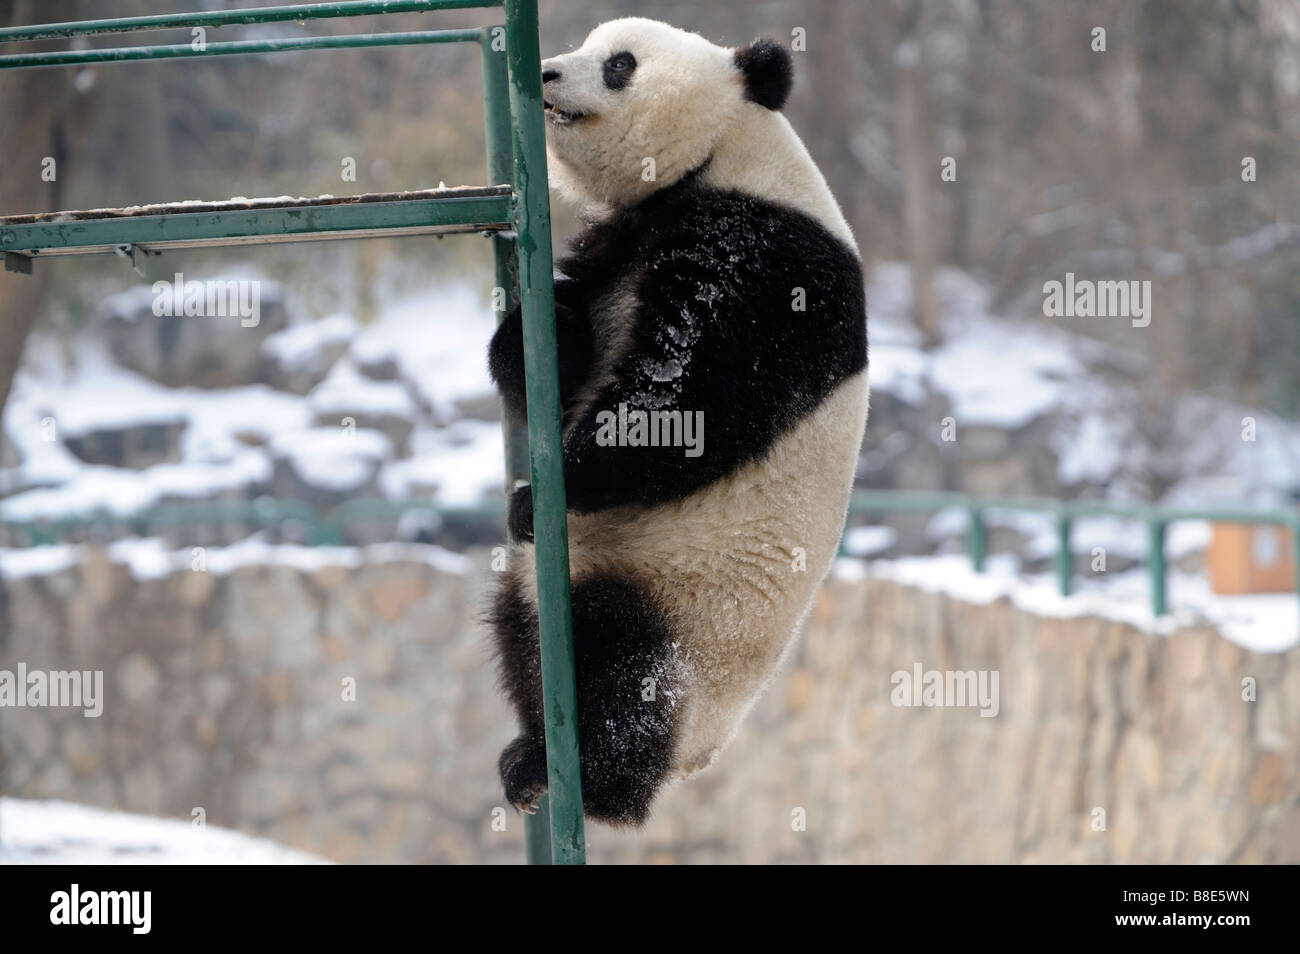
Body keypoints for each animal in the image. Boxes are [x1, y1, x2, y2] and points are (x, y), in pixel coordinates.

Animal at [487, 17, 869, 827]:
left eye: (620, 64)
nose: (548, 73)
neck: (722, 155)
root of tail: (695, 759)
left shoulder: (768, 265)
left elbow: (682, 411)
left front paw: (544, 494)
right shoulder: (615, 244)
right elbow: (553, 362)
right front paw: (546, 334)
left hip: (691, 604)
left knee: (625, 664)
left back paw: (593, 779)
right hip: (561, 582)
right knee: (518, 622)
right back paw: (527, 758)